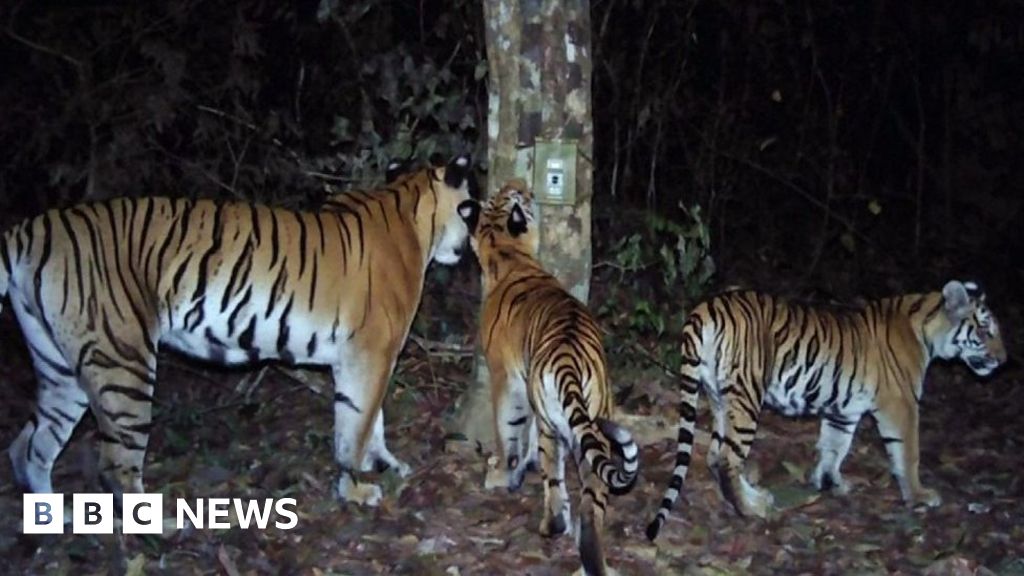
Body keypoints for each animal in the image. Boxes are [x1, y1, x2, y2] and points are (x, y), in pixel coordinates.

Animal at [0, 154, 474, 507]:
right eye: (471, 206)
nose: (469, 248)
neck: (410, 208)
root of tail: (28, 229)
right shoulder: (371, 352)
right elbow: (356, 426)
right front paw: (357, 488)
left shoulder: (359, 357)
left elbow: (370, 420)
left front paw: (386, 465)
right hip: (122, 359)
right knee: (115, 466)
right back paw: (162, 528)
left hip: (61, 365)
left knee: (29, 448)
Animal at [457, 180, 639, 576]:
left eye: (516, 196)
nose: (522, 184)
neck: (508, 254)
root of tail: (570, 361)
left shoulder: (507, 379)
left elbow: (510, 432)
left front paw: (502, 473)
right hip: (595, 419)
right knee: (592, 495)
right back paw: (590, 549)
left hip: (552, 425)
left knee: (555, 485)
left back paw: (552, 525)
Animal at [645, 282, 1007, 540]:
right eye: (985, 330)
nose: (1004, 360)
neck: (928, 329)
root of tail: (706, 307)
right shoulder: (900, 404)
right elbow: (908, 454)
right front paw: (919, 496)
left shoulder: (843, 409)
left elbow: (834, 446)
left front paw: (830, 484)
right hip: (747, 394)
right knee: (727, 458)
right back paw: (751, 510)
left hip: (719, 397)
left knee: (715, 455)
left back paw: (755, 499)